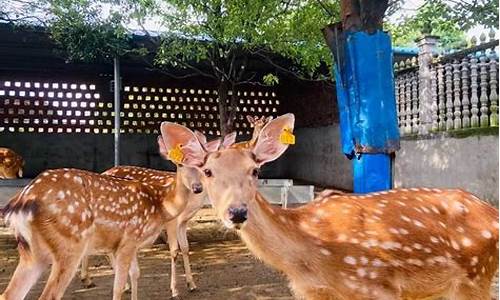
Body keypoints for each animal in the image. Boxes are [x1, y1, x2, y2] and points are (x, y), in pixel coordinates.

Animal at [0, 164, 189, 300]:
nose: (195, 188)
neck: (159, 203)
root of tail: (21, 201)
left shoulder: (128, 246)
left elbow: (134, 273)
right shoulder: (129, 240)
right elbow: (119, 285)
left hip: (32, 253)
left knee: (9, 294)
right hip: (69, 246)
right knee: (49, 295)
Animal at [160, 112, 500, 300]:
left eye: (255, 170)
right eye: (207, 171)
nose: (237, 212)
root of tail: (493, 213)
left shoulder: (377, 286)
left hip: (475, 274)